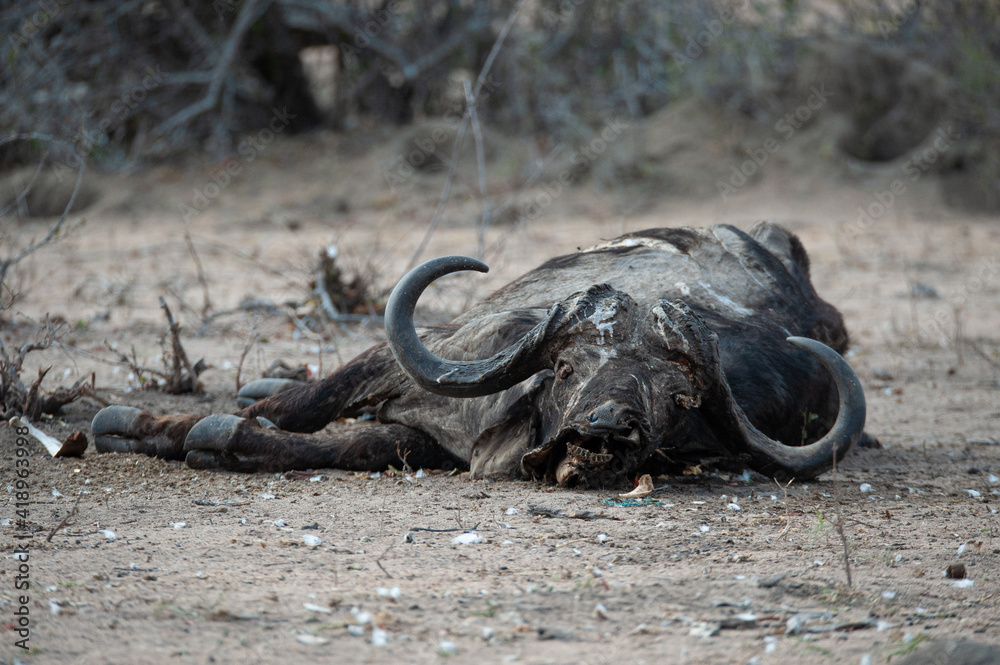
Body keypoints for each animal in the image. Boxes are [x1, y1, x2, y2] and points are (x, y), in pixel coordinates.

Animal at [92, 222, 867, 487]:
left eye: (678, 400)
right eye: (566, 368)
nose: (607, 432)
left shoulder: (424, 439)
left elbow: (353, 444)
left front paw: (220, 437)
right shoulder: (410, 355)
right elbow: (307, 400)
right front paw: (136, 424)